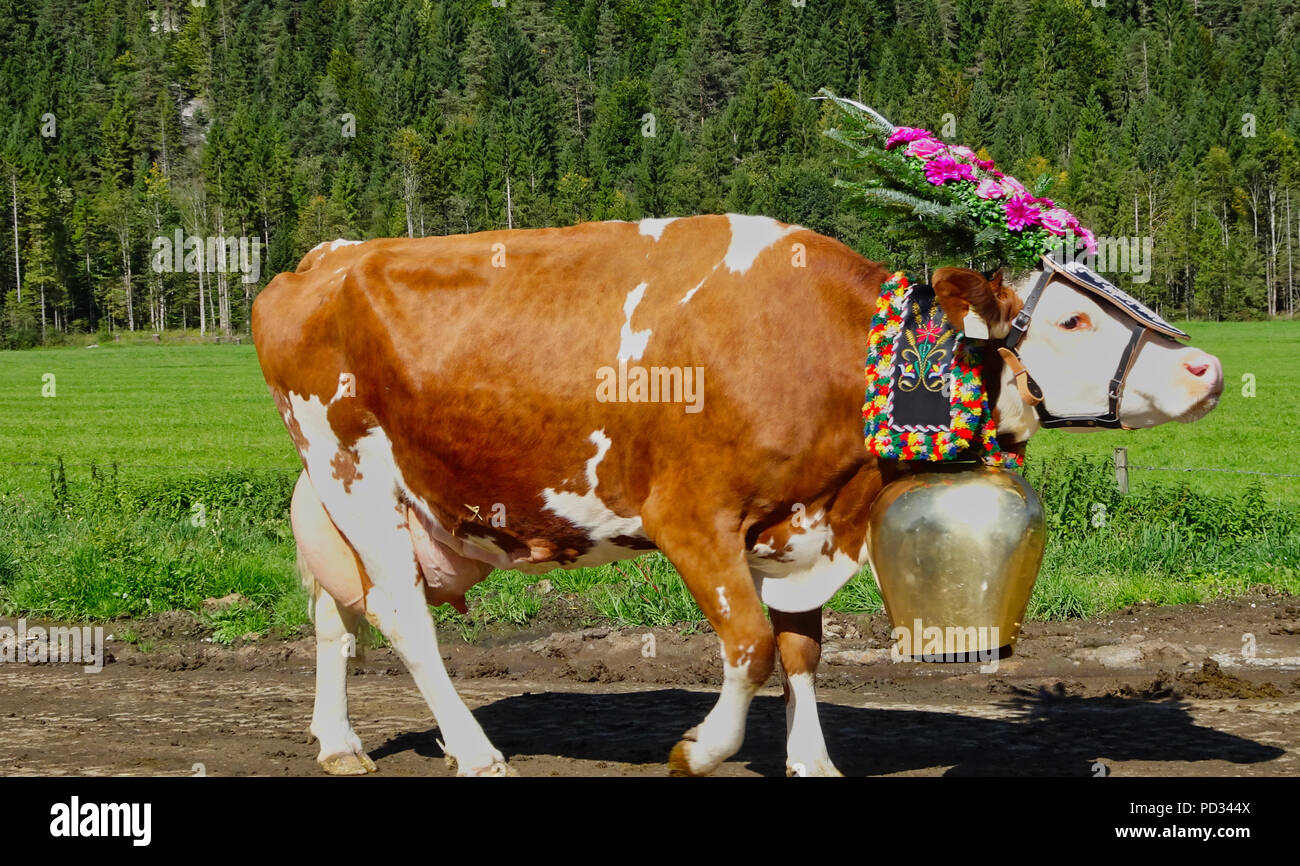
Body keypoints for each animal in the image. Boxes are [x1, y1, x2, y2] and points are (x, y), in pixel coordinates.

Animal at [251, 214, 1222, 777]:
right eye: (1072, 318)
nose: (1207, 369)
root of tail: (323, 259)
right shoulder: (691, 517)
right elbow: (751, 644)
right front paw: (702, 747)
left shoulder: (800, 527)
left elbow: (800, 650)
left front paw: (813, 764)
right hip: (355, 471)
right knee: (402, 616)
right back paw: (479, 752)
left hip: (354, 498)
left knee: (335, 609)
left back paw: (339, 743)